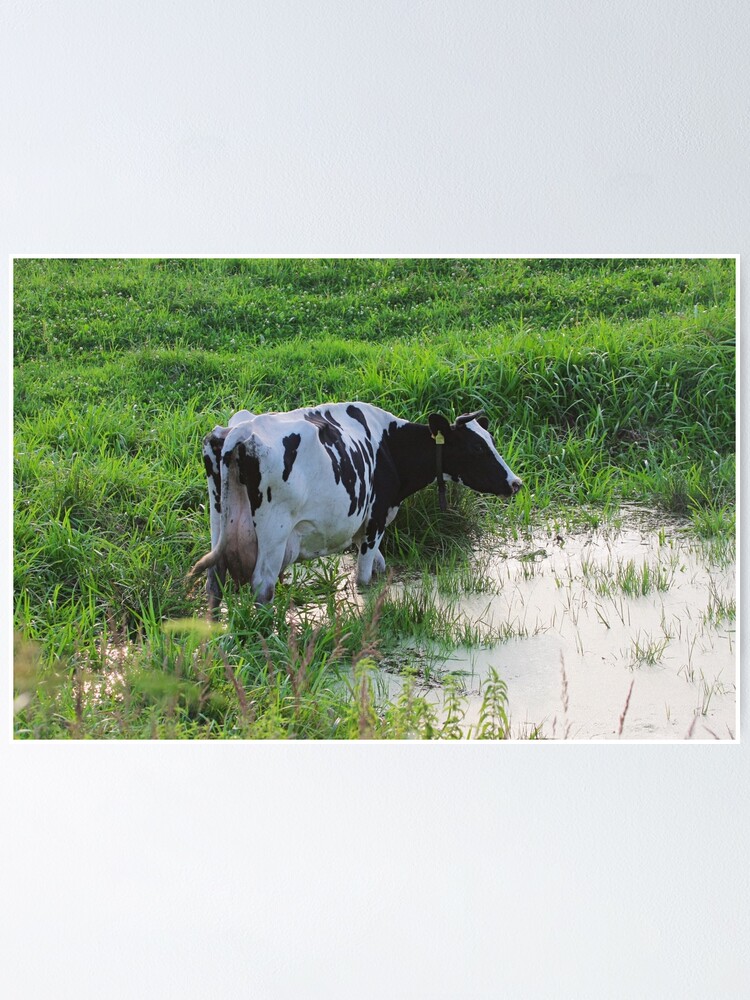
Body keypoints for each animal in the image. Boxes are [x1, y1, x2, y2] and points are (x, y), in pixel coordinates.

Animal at [188, 402, 523, 612]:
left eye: (491, 440)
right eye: (477, 447)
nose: (515, 482)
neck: (388, 447)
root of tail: (242, 430)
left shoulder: (366, 527)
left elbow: (380, 567)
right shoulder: (376, 519)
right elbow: (363, 578)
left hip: (219, 521)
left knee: (214, 582)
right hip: (274, 534)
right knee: (262, 586)